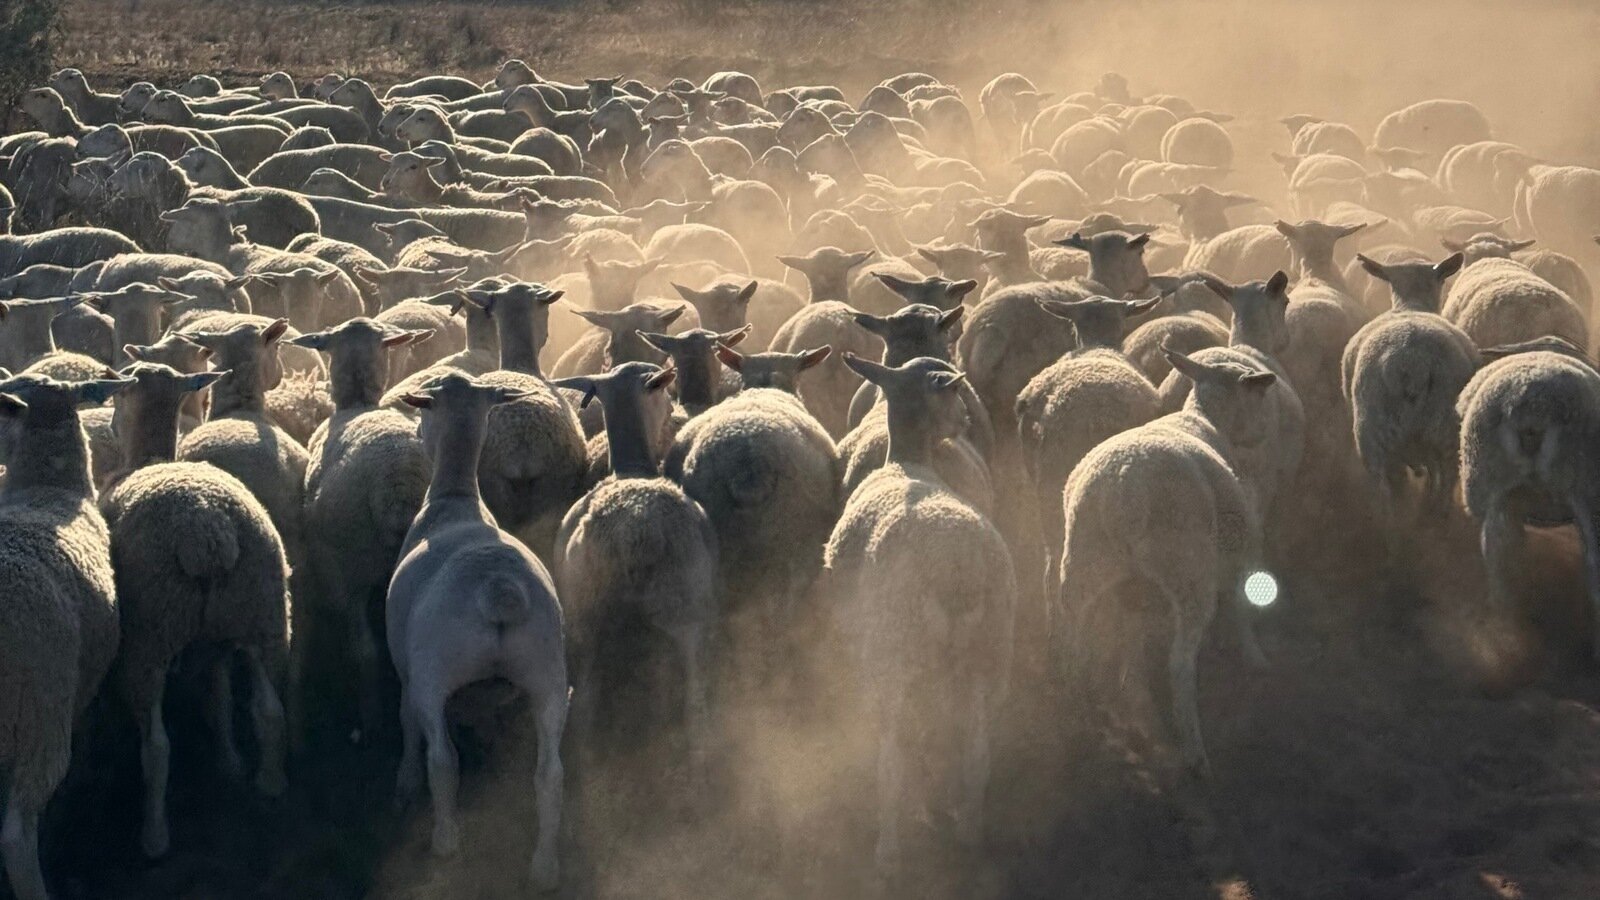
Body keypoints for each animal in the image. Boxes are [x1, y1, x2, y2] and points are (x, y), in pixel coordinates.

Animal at [99, 362, 289, 857]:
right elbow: (219, 698)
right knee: (269, 710)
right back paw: (270, 782)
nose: (111, 424)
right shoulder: (213, 644)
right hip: (262, 611)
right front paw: (228, 761)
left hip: (150, 633)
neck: (148, 458)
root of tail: (208, 530)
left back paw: (153, 836)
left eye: (119, 396)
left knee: (156, 747)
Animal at [387, 372, 567, 890]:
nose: (417, 431)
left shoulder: (407, 670)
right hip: (548, 673)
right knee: (550, 774)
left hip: (436, 674)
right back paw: (544, 866)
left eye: (425, 411)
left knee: (444, 760)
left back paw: (445, 842)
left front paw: (404, 781)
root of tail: (498, 587)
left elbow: (406, 723)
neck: (456, 499)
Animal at [551, 363, 719, 778]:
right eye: (663, 394)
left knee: (582, 711)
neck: (631, 470)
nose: (673, 413)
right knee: (696, 712)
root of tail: (635, 525)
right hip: (686, 611)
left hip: (583, 624)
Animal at [822, 353, 1014, 875]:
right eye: (952, 394)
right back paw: (966, 826)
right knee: (975, 748)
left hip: (899, 648)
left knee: (896, 753)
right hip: (988, 653)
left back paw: (889, 848)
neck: (906, 461)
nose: (965, 420)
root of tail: (957, 566)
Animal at [1058, 345, 1276, 775]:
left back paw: (1083, 717)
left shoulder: (1134, 592)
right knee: (1179, 662)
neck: (1204, 419)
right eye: (1258, 393)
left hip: (1084, 567)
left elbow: (1132, 639)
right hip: (1188, 569)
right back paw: (1195, 752)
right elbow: (1241, 605)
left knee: (1074, 642)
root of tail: (1123, 491)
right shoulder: (1237, 551)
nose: (1262, 434)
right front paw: (1255, 658)